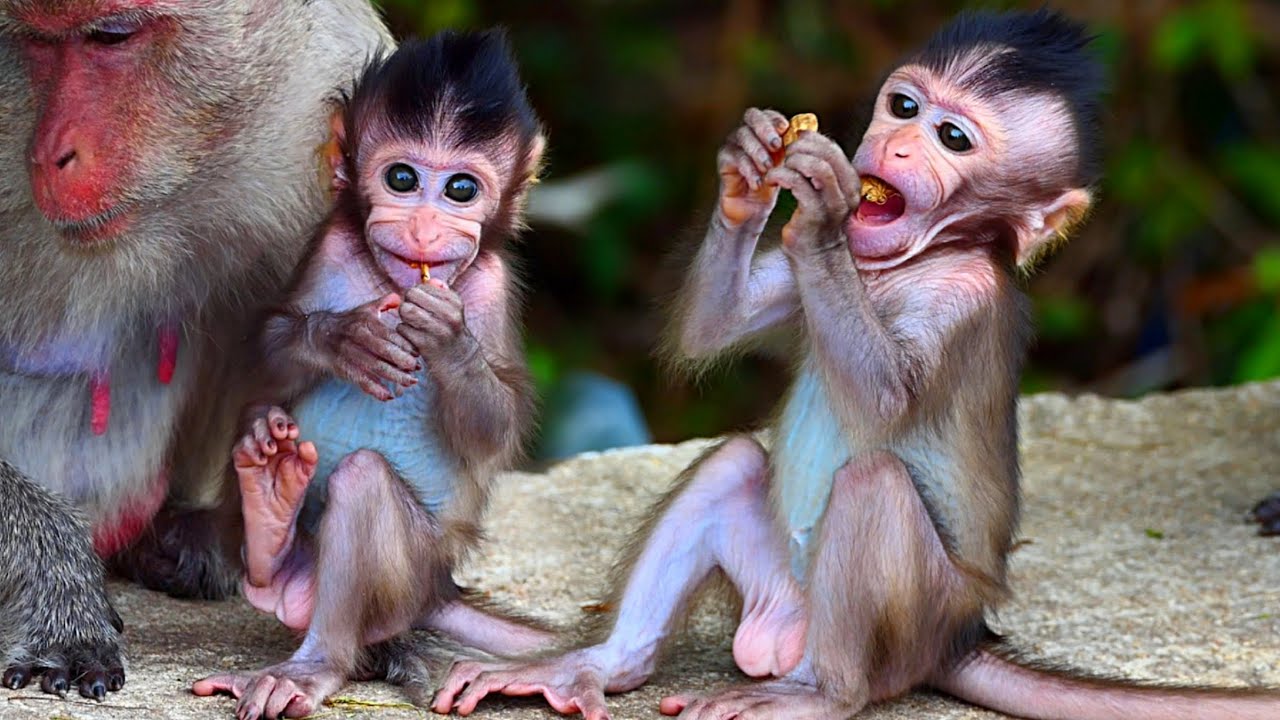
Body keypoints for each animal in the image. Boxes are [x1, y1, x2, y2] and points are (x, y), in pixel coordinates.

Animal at [190, 30, 556, 720]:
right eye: (403, 178)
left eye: (461, 190)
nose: (423, 229)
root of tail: (438, 591)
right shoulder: (330, 238)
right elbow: (264, 347)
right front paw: (344, 338)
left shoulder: (493, 284)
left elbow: (495, 428)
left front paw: (447, 336)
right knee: (259, 423)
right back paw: (271, 503)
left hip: (407, 581)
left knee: (363, 482)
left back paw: (314, 664)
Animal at [431, 10, 1280, 720]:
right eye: (903, 108)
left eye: (952, 137)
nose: (894, 146)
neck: (913, 261)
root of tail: (962, 639)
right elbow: (713, 329)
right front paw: (748, 171)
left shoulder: (964, 297)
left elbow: (886, 403)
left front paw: (825, 211)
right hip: (782, 590)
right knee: (732, 463)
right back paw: (596, 666)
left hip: (911, 625)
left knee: (874, 485)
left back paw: (822, 696)